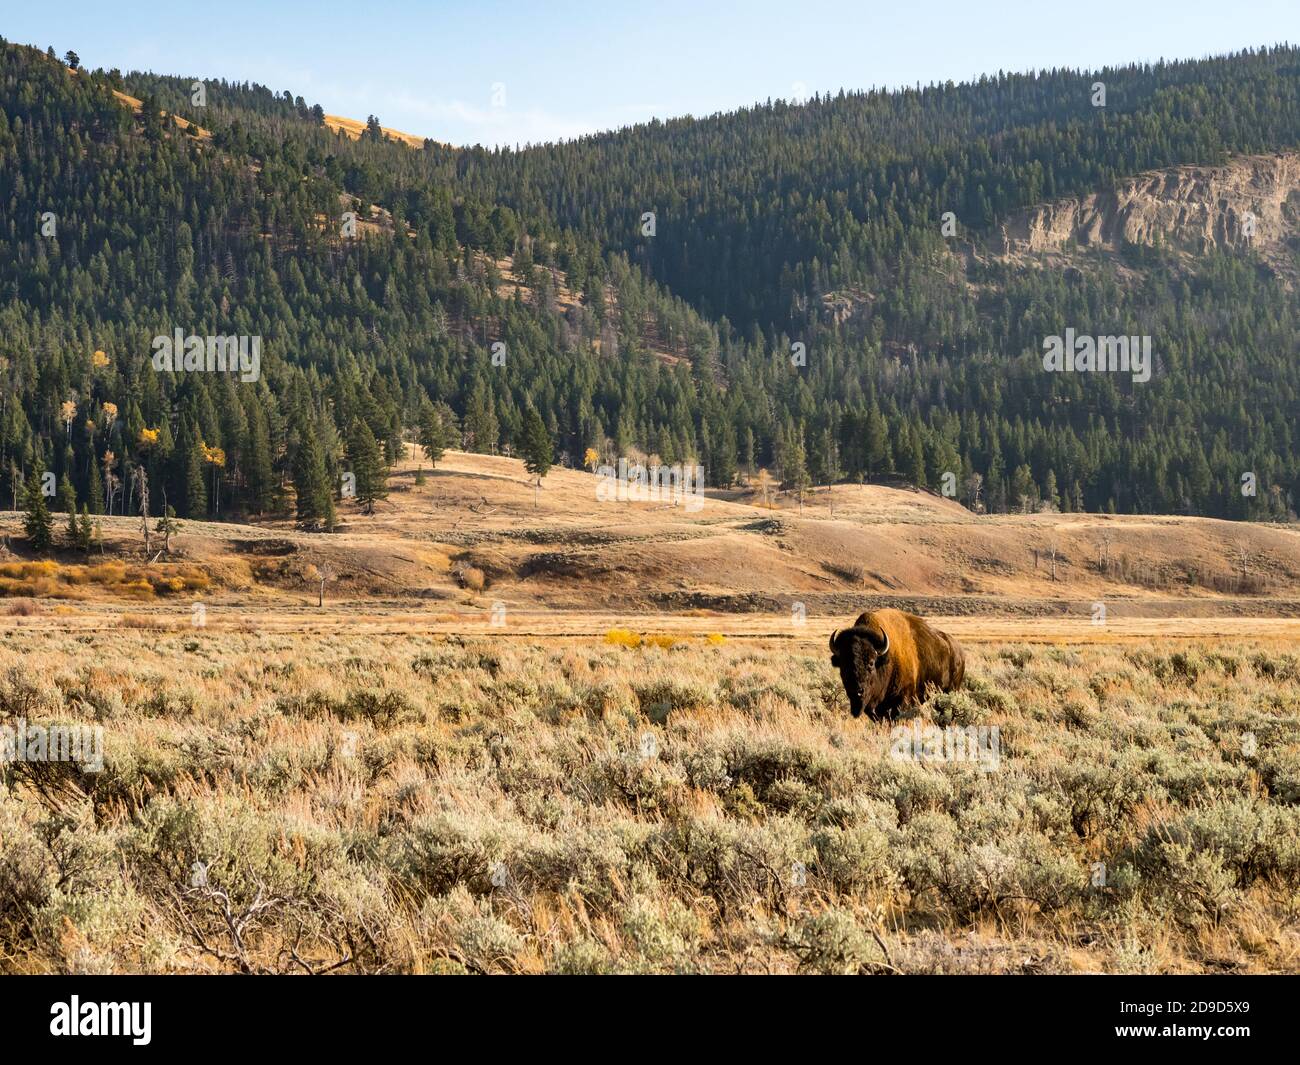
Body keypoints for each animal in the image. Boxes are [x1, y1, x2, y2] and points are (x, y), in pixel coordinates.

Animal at [829, 608, 965, 719]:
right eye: (843, 664)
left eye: (871, 663)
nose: (856, 691)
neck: (885, 659)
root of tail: (959, 651)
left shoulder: (901, 700)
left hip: (952, 690)